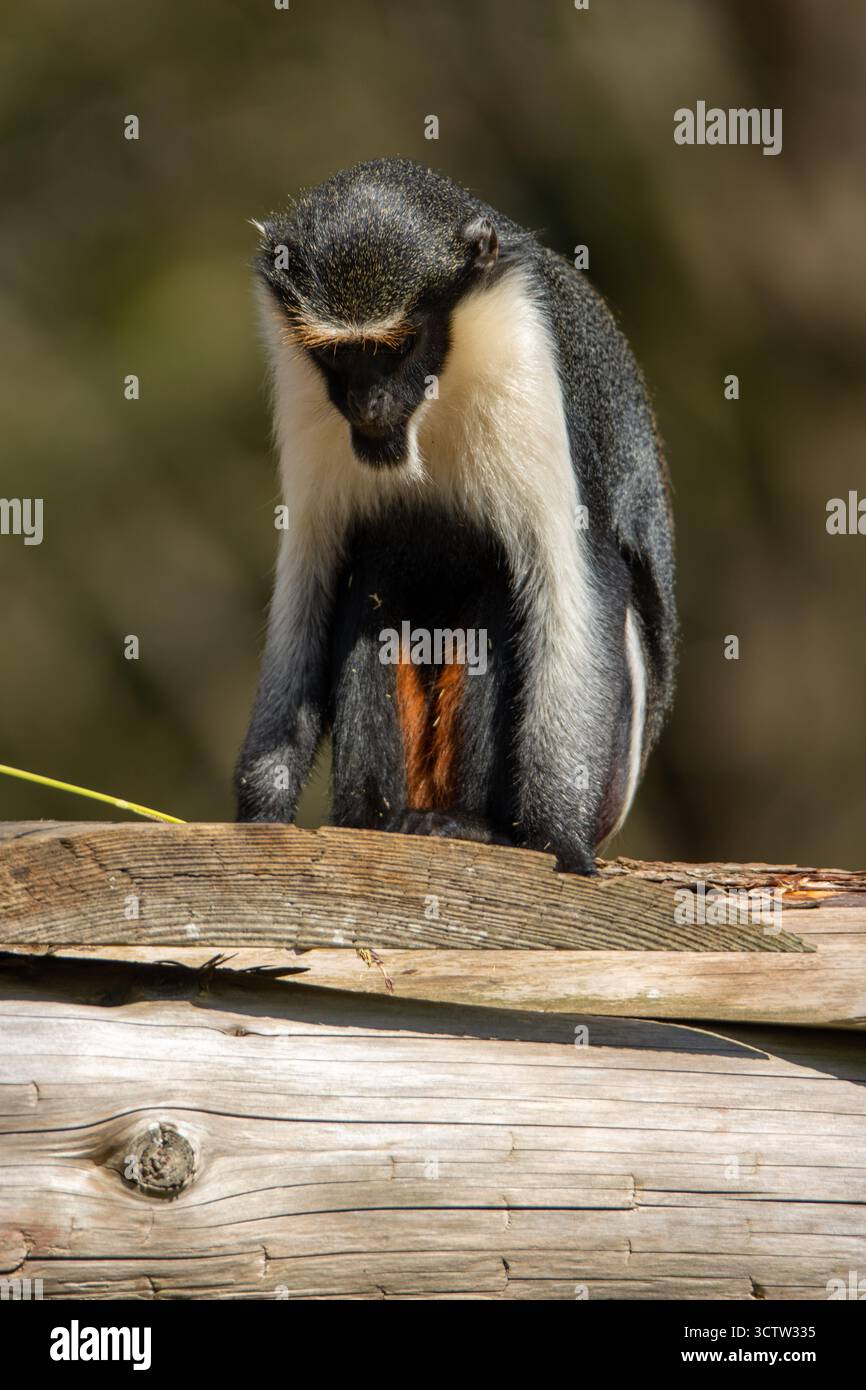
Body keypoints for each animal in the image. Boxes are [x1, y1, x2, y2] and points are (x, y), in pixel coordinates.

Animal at [235, 158, 676, 874]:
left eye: (400, 346)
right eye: (339, 356)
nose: (369, 404)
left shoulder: (532, 359)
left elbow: (575, 582)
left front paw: (559, 843)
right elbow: (309, 582)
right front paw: (259, 813)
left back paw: (476, 828)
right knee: (370, 579)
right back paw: (374, 820)